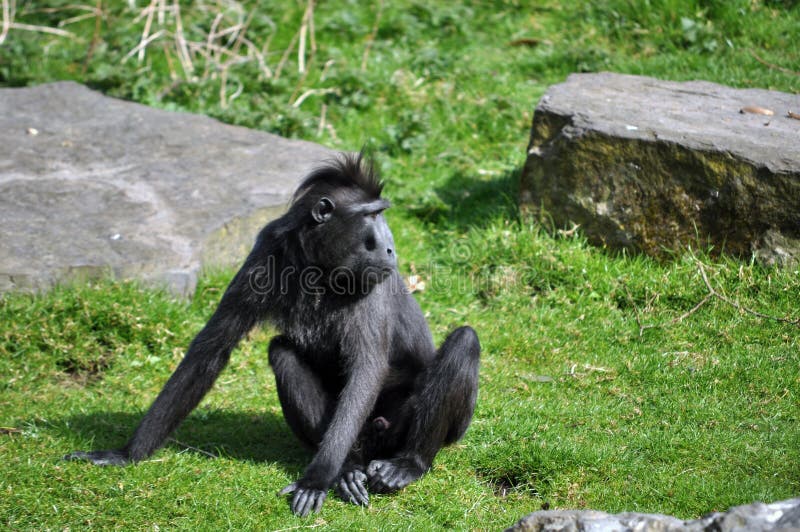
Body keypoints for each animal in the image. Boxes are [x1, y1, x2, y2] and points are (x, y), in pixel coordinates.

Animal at [65, 152, 480, 517]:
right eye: (370, 216)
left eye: (381, 213)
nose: (391, 248)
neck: (319, 269)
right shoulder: (267, 252)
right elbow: (212, 348)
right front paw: (124, 454)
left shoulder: (371, 282)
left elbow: (367, 369)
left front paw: (315, 480)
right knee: (282, 352)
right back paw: (348, 467)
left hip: (416, 426)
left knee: (464, 341)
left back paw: (406, 465)